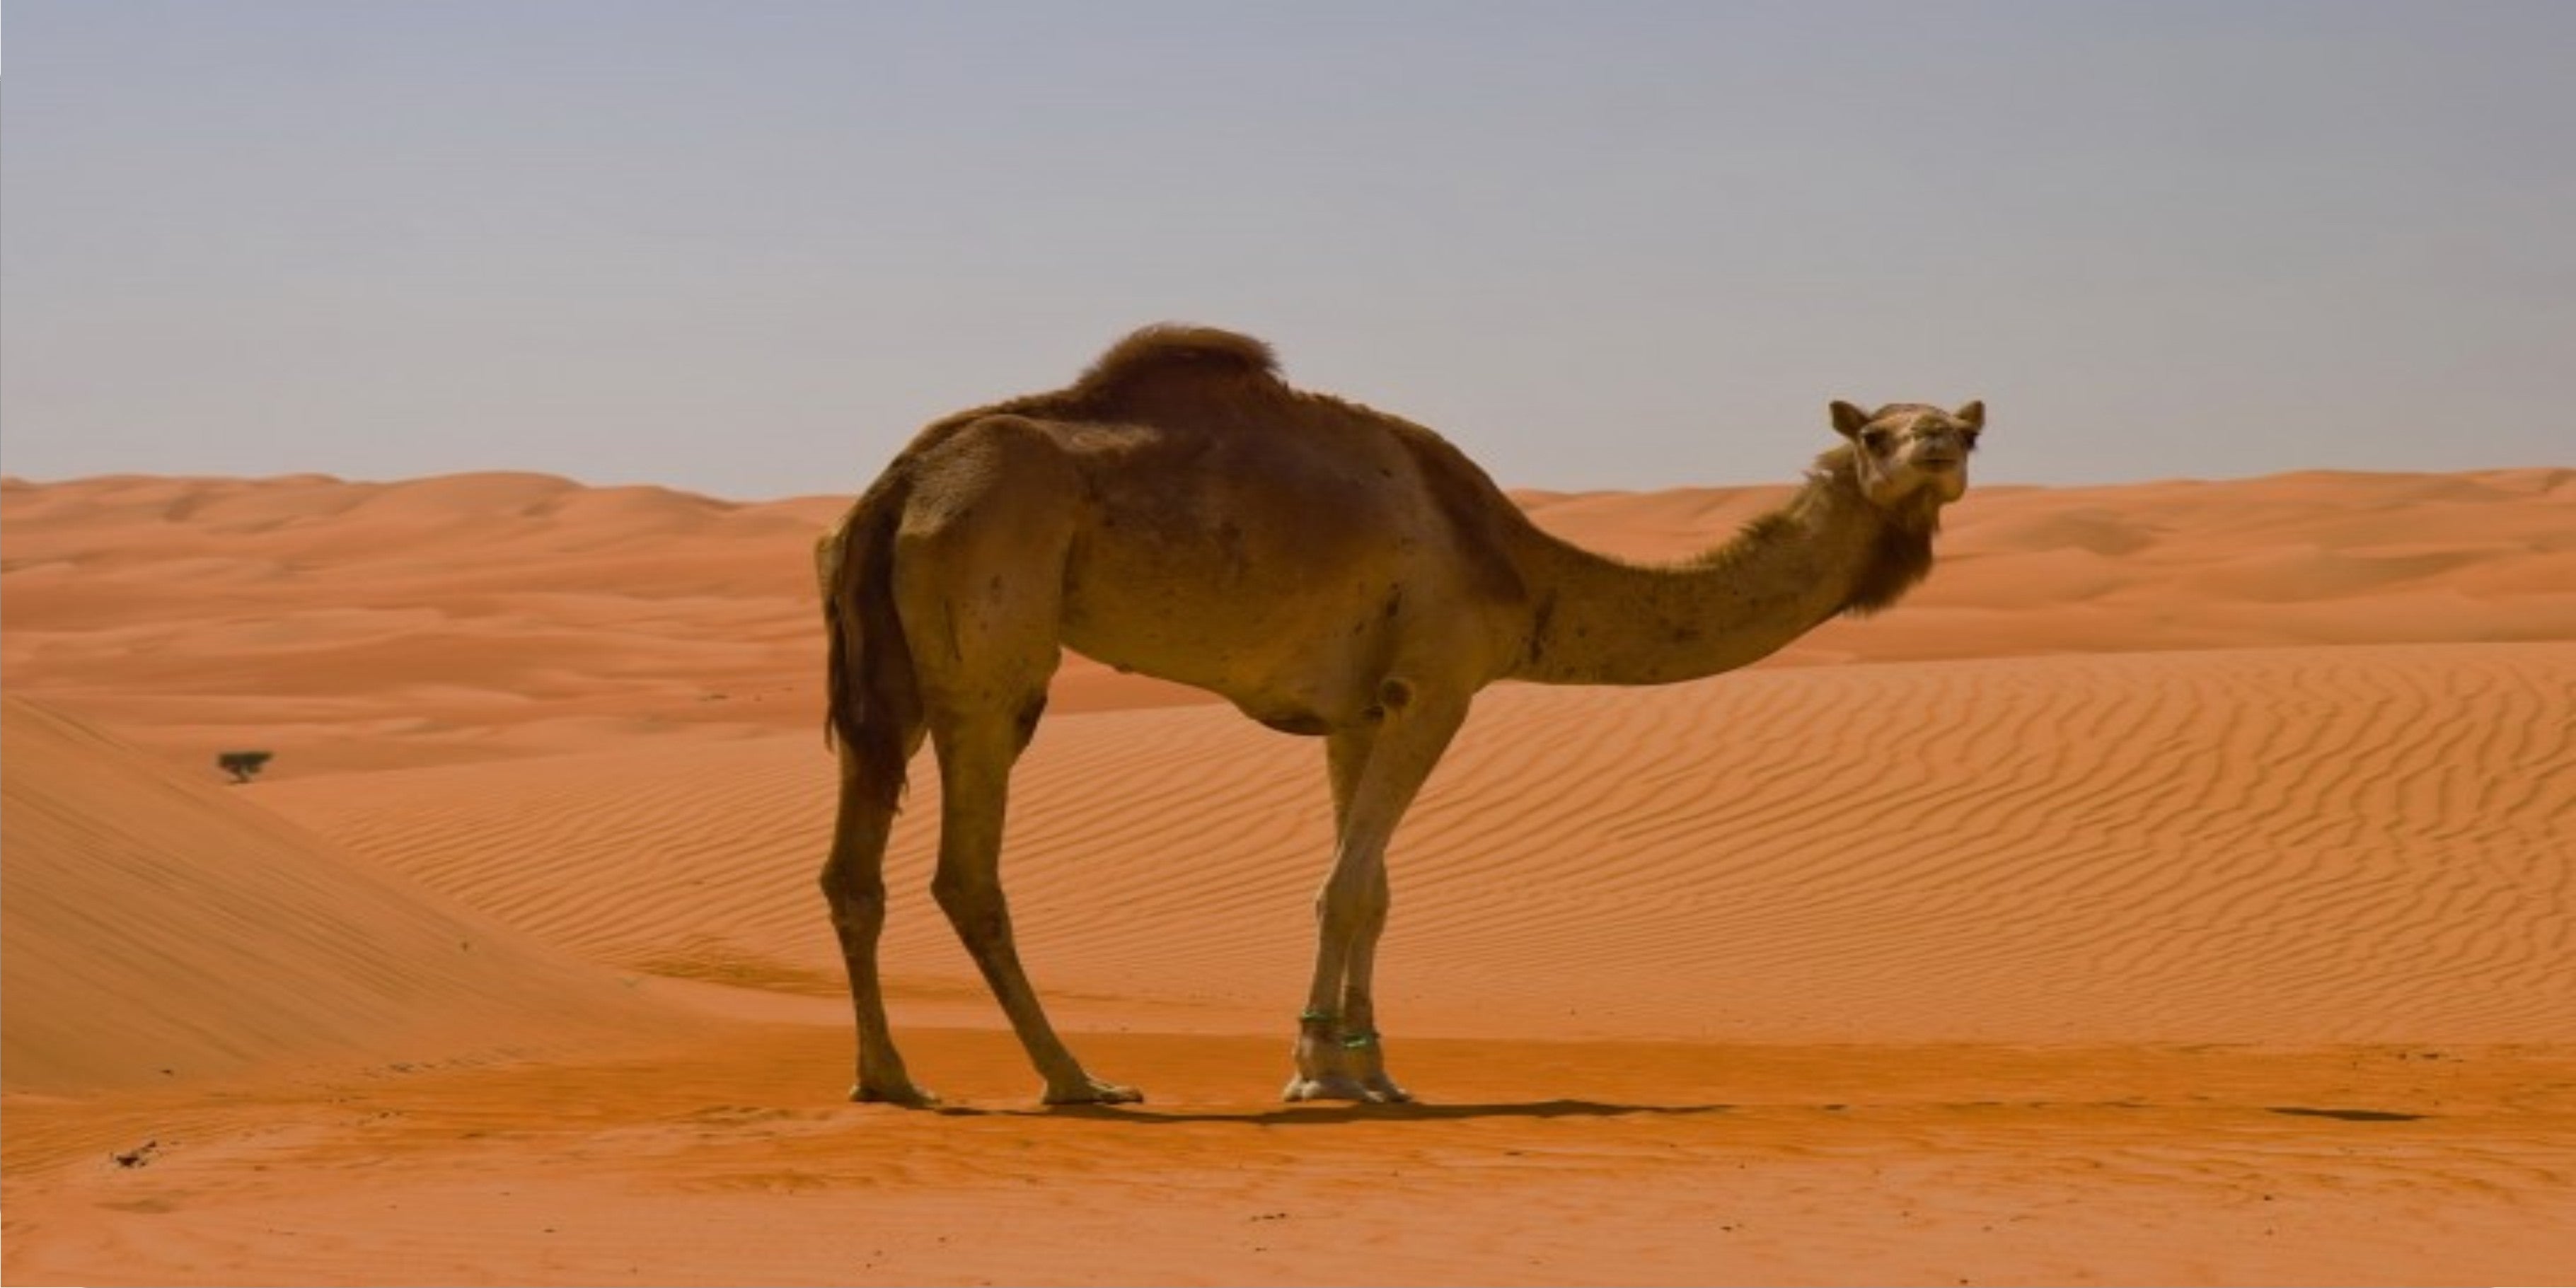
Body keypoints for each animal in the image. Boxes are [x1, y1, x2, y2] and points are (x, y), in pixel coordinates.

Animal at [816, 324, 1982, 1106]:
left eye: (1959, 430)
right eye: (1877, 433)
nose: (1938, 441)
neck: (1521, 569)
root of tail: (901, 479)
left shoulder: (1355, 711)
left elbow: (1370, 889)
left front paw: (1367, 1068)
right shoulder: (1438, 685)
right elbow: (1344, 886)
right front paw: (1317, 1075)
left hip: (893, 666)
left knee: (853, 867)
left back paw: (890, 1079)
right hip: (992, 635)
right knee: (967, 869)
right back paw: (1078, 1080)